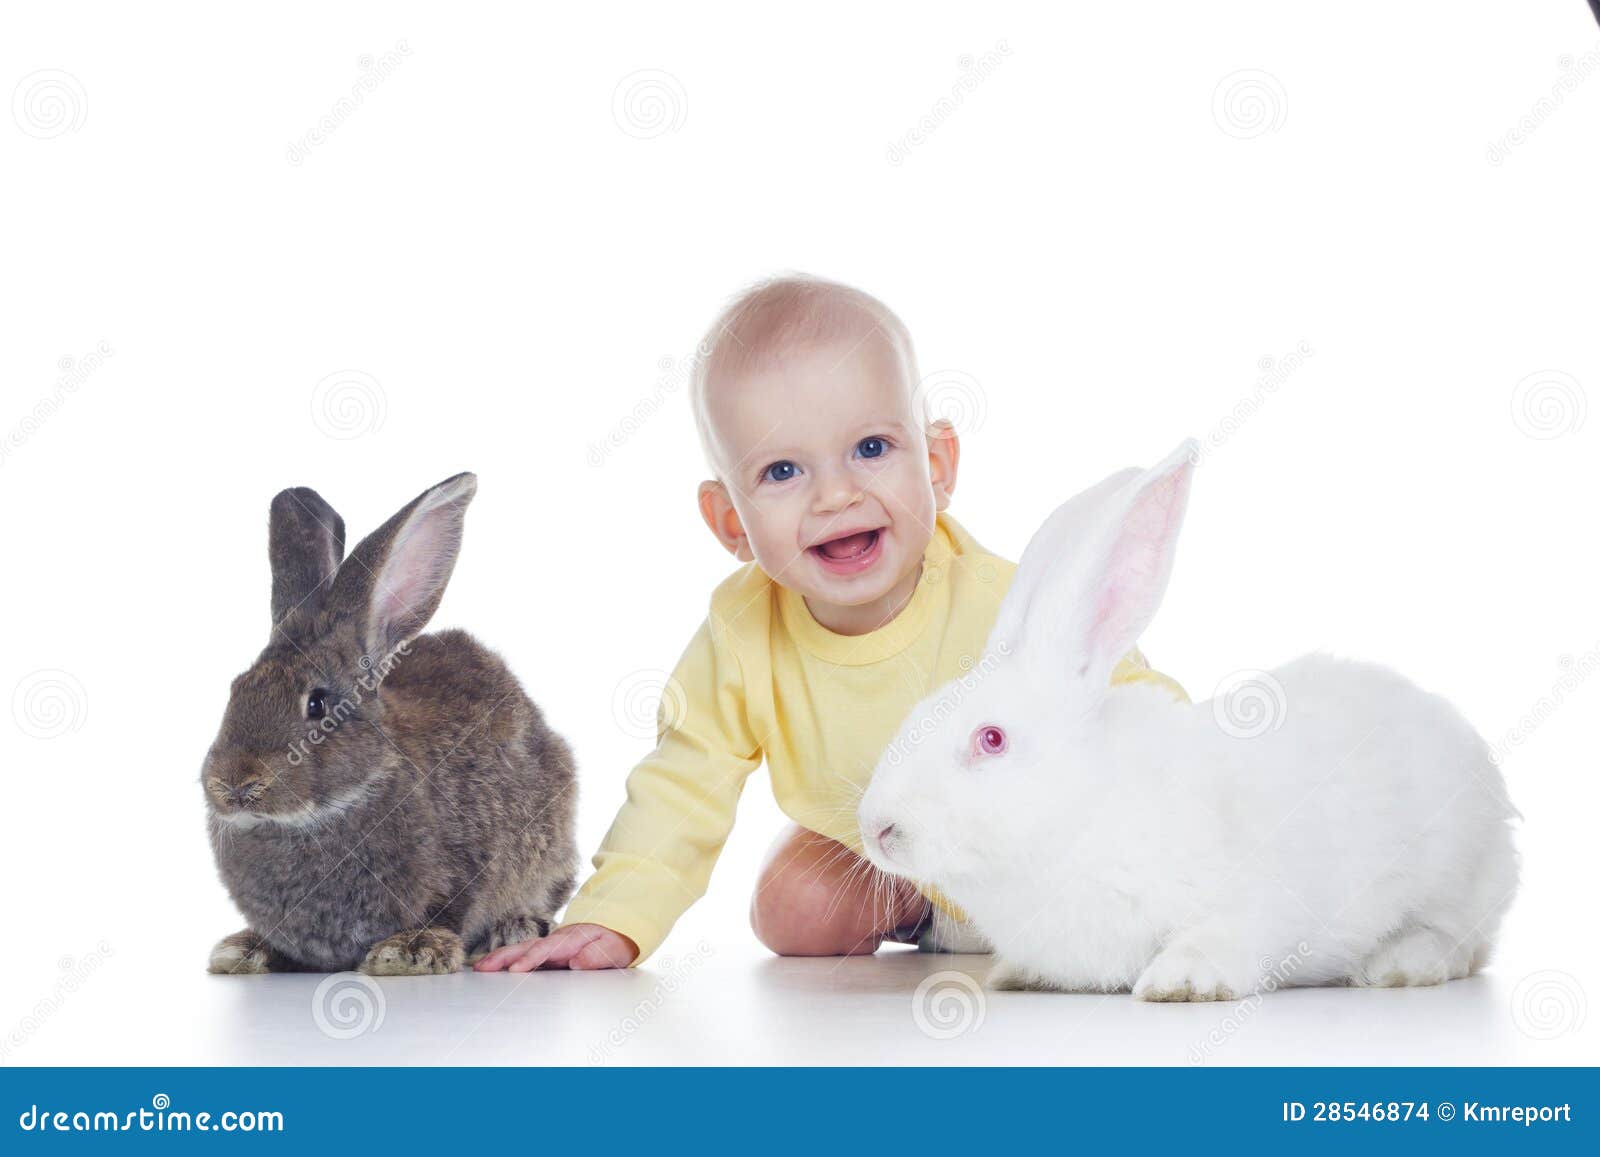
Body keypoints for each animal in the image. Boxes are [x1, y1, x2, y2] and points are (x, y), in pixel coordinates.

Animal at [202, 473, 579, 975]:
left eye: (317, 704)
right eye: (235, 690)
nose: (234, 785)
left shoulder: (470, 861)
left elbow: (449, 910)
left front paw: (409, 952)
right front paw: (246, 950)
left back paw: (513, 929)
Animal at [857, 441, 1519, 1000]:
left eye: (991, 740)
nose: (878, 827)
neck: (1080, 807)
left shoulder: (1249, 902)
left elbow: (1222, 938)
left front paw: (1181, 982)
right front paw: (1017, 974)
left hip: (1455, 877)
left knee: (1461, 943)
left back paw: (1396, 966)